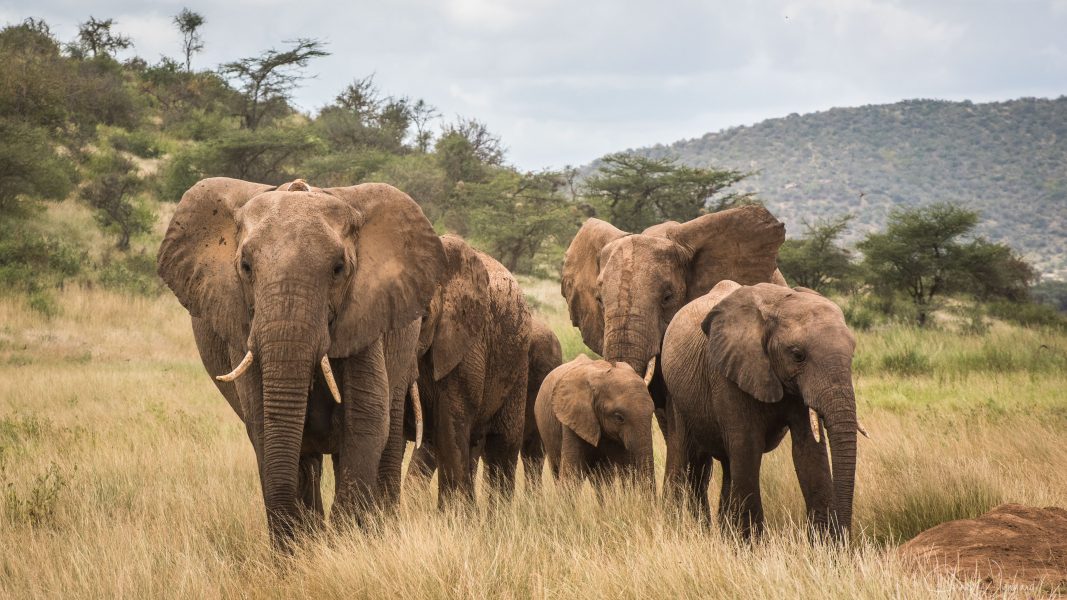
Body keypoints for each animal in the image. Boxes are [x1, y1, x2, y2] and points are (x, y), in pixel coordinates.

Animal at [157, 177, 445, 549]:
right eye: (245, 267)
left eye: (338, 269)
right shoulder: (242, 324)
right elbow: (264, 424)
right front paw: (299, 551)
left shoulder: (365, 316)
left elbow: (366, 421)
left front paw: (343, 544)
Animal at [403, 234, 532, 504]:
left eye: (425, 316)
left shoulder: (468, 341)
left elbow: (450, 424)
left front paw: (453, 514)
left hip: (518, 364)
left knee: (501, 447)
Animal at [660, 280, 866, 540]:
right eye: (798, 355)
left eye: (852, 353)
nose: (844, 536)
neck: (778, 304)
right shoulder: (726, 374)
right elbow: (747, 448)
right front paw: (753, 546)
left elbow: (809, 451)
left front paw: (824, 546)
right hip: (676, 395)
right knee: (686, 457)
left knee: (729, 466)